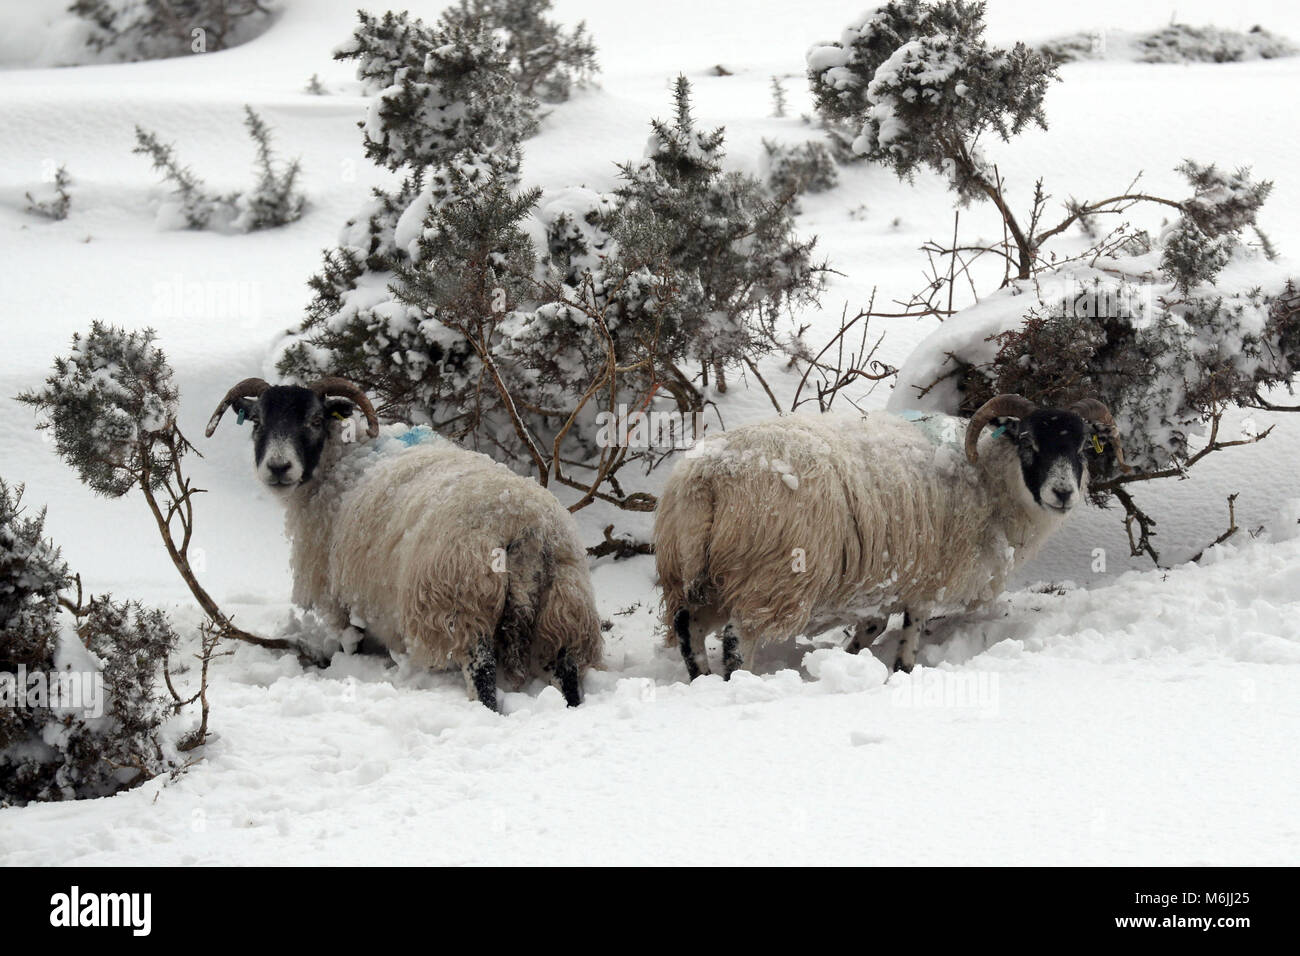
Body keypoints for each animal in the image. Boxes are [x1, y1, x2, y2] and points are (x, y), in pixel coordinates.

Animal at [205, 377, 602, 711]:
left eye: (315, 420)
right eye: (257, 422)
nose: (278, 467)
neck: (339, 461)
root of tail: (523, 524)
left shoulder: (339, 595)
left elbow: (350, 641)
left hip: (461, 603)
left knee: (484, 678)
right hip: (564, 608)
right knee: (567, 674)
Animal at [654, 394, 1128, 677]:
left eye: (1083, 447)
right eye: (1029, 442)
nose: (1063, 493)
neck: (990, 480)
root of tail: (708, 477)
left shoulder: (884, 576)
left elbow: (873, 624)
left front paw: (849, 658)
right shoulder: (929, 574)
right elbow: (912, 628)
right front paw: (901, 669)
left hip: (699, 575)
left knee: (687, 628)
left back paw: (702, 679)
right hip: (767, 575)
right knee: (737, 638)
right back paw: (738, 681)